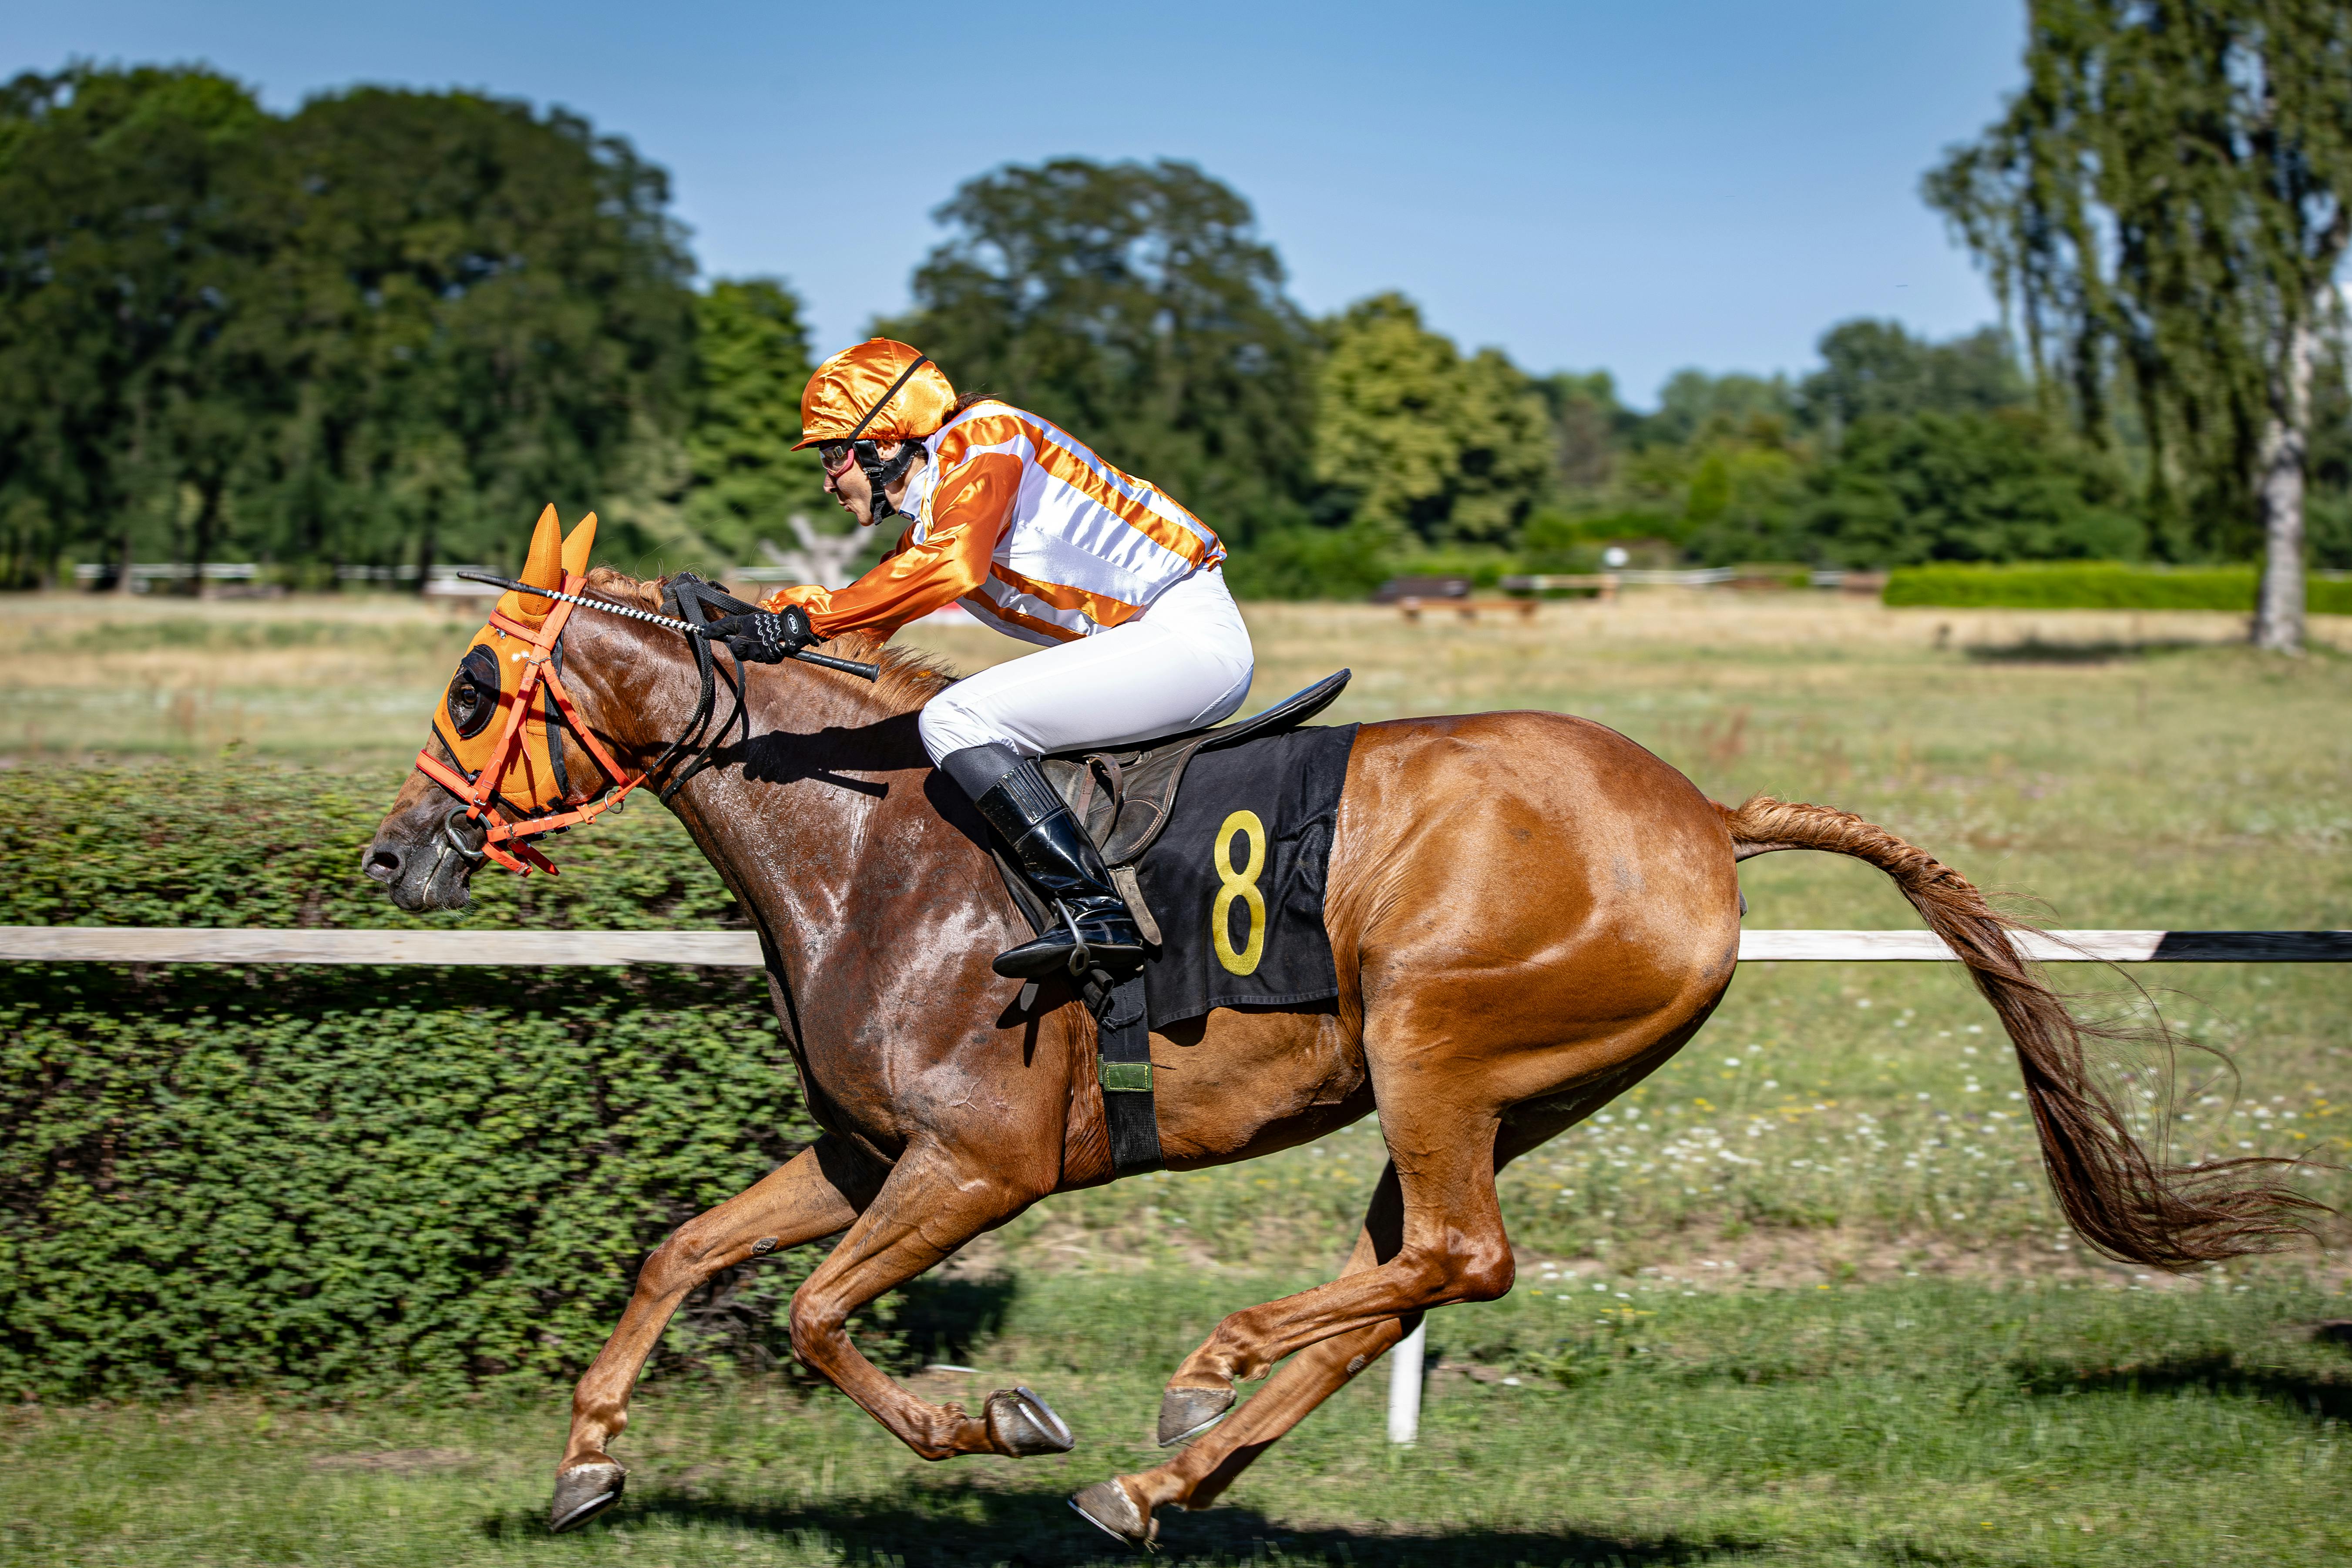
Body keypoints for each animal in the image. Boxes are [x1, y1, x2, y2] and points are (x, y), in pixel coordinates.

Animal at [362, 513, 2314, 1549]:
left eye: (472, 683)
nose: (394, 854)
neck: (877, 848)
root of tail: (1702, 814)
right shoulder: (866, 1153)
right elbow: (686, 1251)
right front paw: (588, 1456)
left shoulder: (977, 1164)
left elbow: (822, 1317)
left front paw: (994, 1418)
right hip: (1491, 1086)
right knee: (1413, 1266)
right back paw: (1165, 1474)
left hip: (1438, 1033)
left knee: (1456, 1254)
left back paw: (1195, 1379)